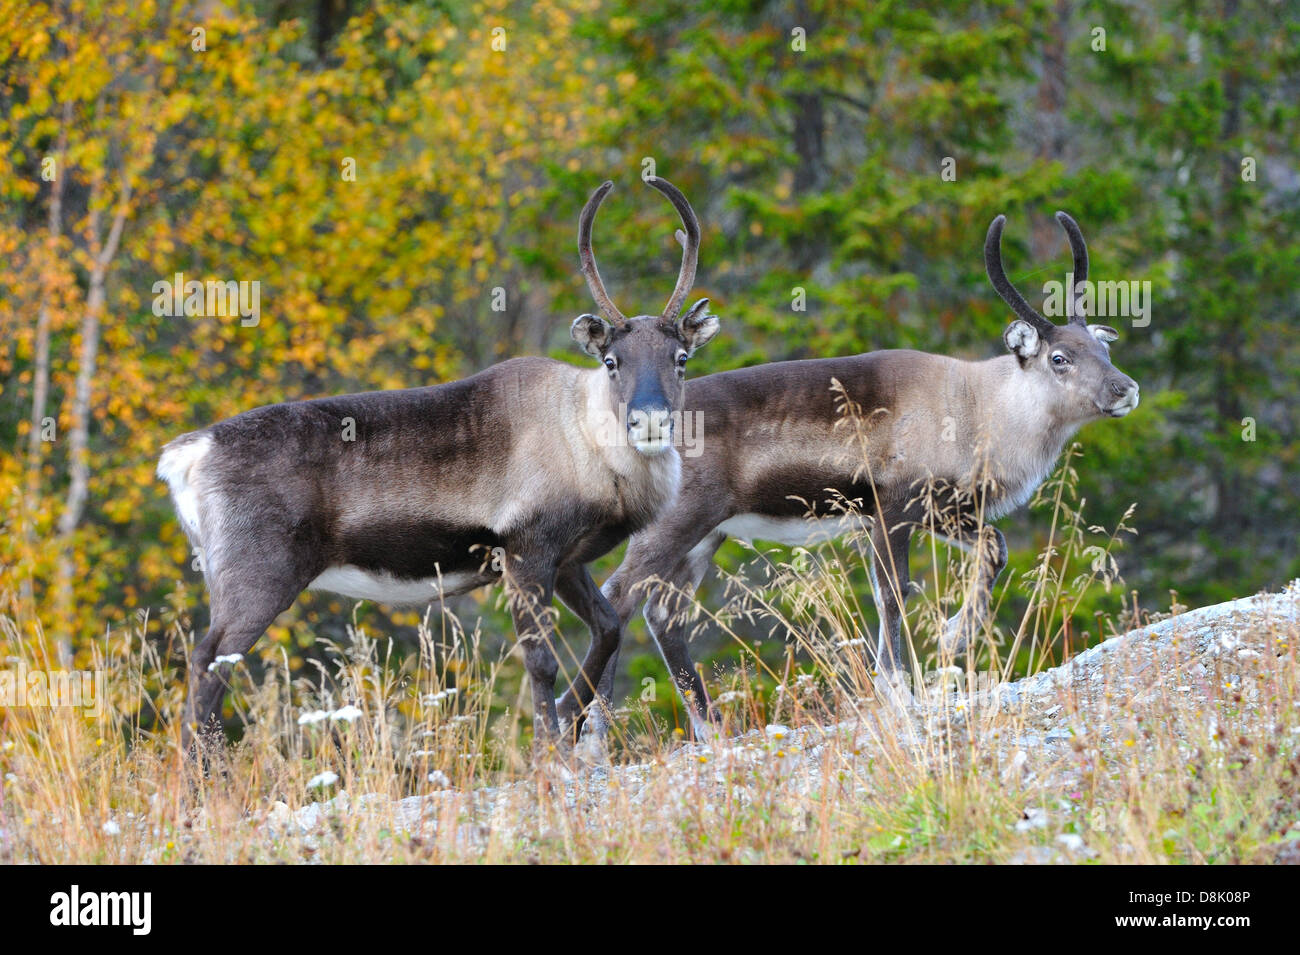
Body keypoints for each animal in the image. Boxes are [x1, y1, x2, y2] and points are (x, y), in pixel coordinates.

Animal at [157, 176, 721, 751]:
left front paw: (571, 729)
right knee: (207, 661)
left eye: (681, 358)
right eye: (611, 361)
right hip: (258, 575)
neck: (584, 441)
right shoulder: (526, 549)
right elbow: (540, 661)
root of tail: (187, 453)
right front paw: (549, 751)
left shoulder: (567, 558)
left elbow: (607, 630)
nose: (650, 422)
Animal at [554, 211, 1140, 739]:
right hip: (676, 524)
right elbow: (893, 594)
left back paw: (706, 729)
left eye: (1104, 347)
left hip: (707, 534)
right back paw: (588, 733)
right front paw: (899, 689)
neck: (978, 408)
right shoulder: (892, 508)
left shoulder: (943, 509)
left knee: (663, 613)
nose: (1125, 389)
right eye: (1059, 357)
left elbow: (993, 548)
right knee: (622, 595)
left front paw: (951, 638)